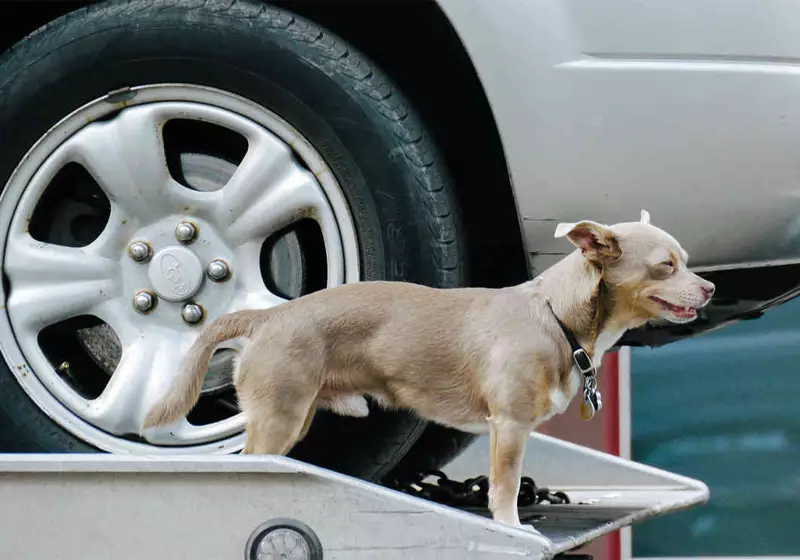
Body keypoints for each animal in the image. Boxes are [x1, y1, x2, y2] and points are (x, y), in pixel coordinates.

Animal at [142, 211, 712, 528]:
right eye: (666, 266)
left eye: (687, 260)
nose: (707, 288)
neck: (556, 316)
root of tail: (270, 315)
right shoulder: (509, 427)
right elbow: (505, 487)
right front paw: (513, 528)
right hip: (278, 419)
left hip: (292, 417)